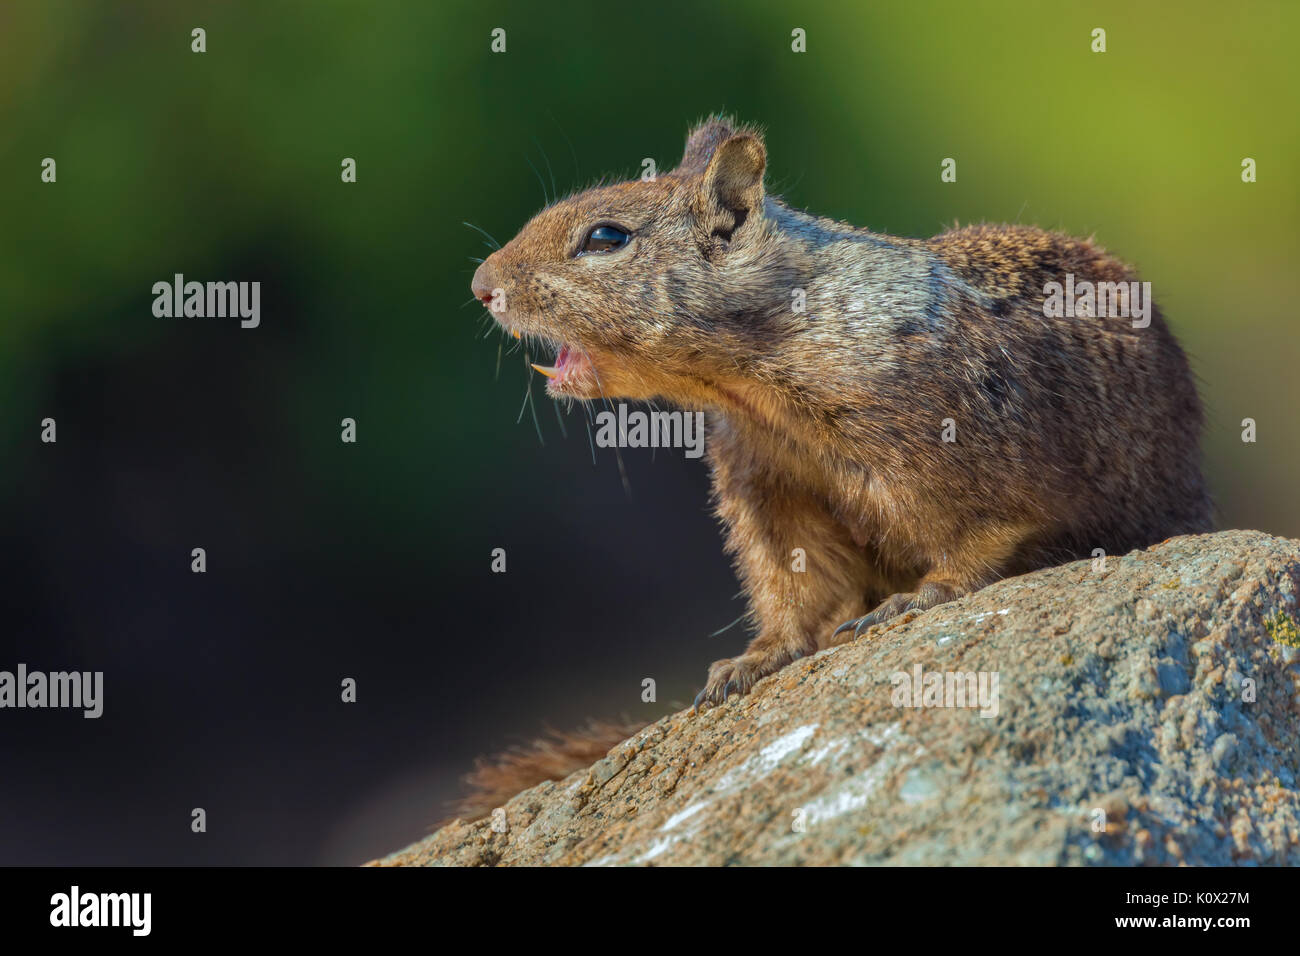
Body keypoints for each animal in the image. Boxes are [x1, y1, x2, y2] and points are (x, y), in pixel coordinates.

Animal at [464, 115, 1211, 819]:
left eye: (605, 238)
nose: (480, 286)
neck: (758, 389)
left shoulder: (967, 453)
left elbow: (982, 536)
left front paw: (920, 597)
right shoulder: (763, 484)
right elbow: (793, 581)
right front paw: (753, 659)